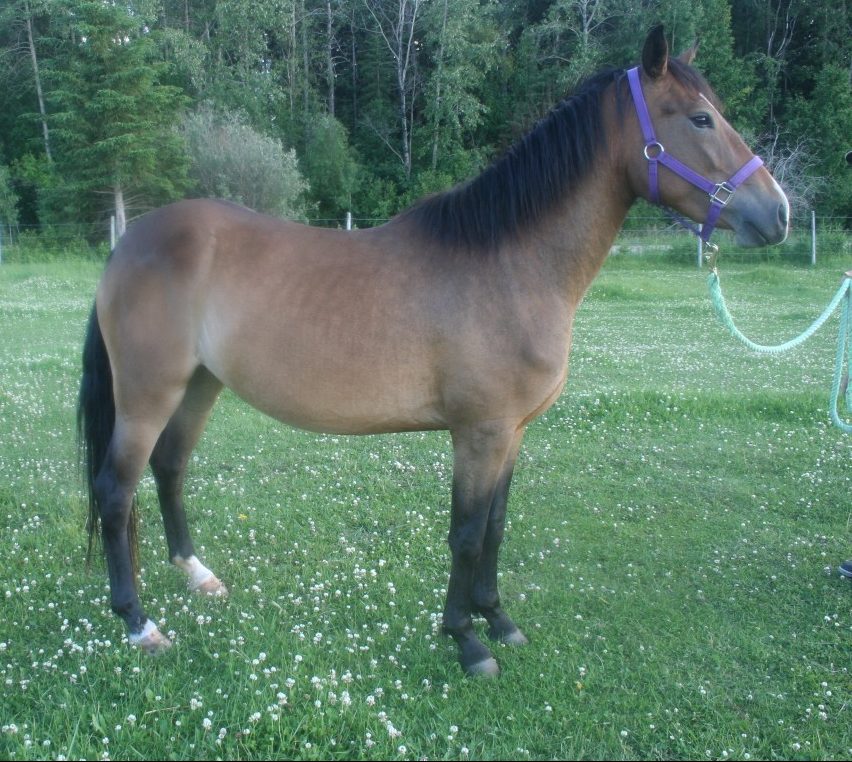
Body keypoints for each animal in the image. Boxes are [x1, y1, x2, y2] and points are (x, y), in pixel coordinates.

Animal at [78, 26, 789, 677]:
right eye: (700, 118)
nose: (778, 213)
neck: (508, 263)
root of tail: (128, 243)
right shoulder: (479, 432)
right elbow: (467, 533)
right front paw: (466, 640)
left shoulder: (511, 433)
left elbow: (495, 527)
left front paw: (498, 619)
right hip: (146, 395)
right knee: (116, 490)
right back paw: (139, 624)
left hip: (199, 385)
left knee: (169, 468)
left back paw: (198, 576)